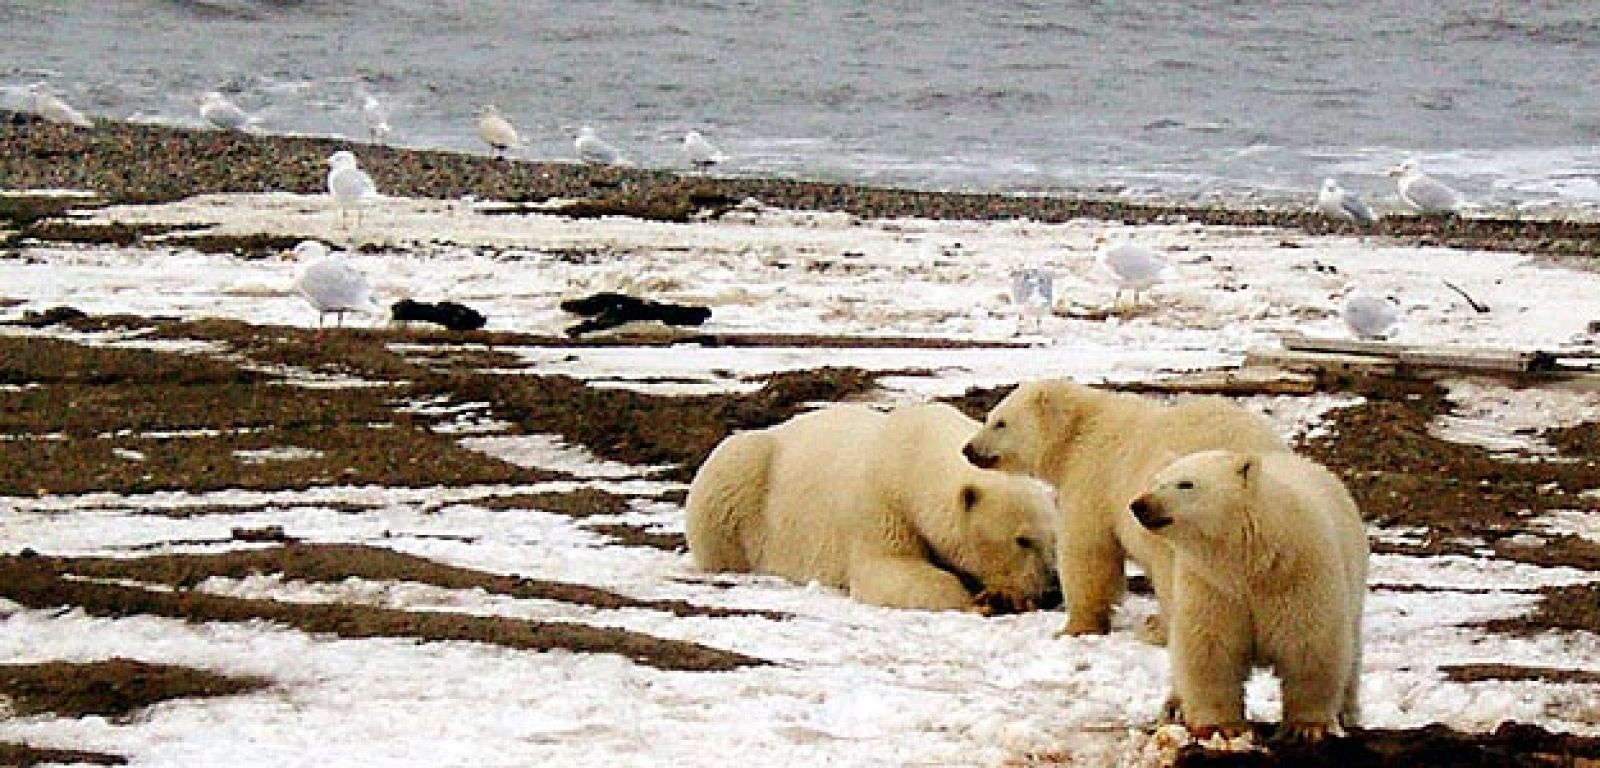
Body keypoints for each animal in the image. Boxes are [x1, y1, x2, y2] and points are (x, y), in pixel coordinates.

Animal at [681, 401, 1056, 611]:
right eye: (1022, 540)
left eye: (1054, 539)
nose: (1052, 590)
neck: (914, 455)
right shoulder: (881, 504)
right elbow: (888, 568)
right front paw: (979, 601)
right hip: (742, 478)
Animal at [960, 377, 1286, 636]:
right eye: (990, 416)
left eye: (1000, 422)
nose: (968, 449)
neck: (1079, 431)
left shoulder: (1094, 476)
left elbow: (1089, 550)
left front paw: (1075, 627)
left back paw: (1161, 630)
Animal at [1132, 451, 1369, 742]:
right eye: (1155, 481)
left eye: (1186, 483)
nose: (1139, 505)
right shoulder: (1212, 585)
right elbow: (1210, 647)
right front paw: (1222, 727)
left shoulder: (1299, 575)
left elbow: (1309, 644)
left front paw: (1306, 726)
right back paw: (1173, 708)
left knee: (1352, 653)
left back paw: (1347, 714)